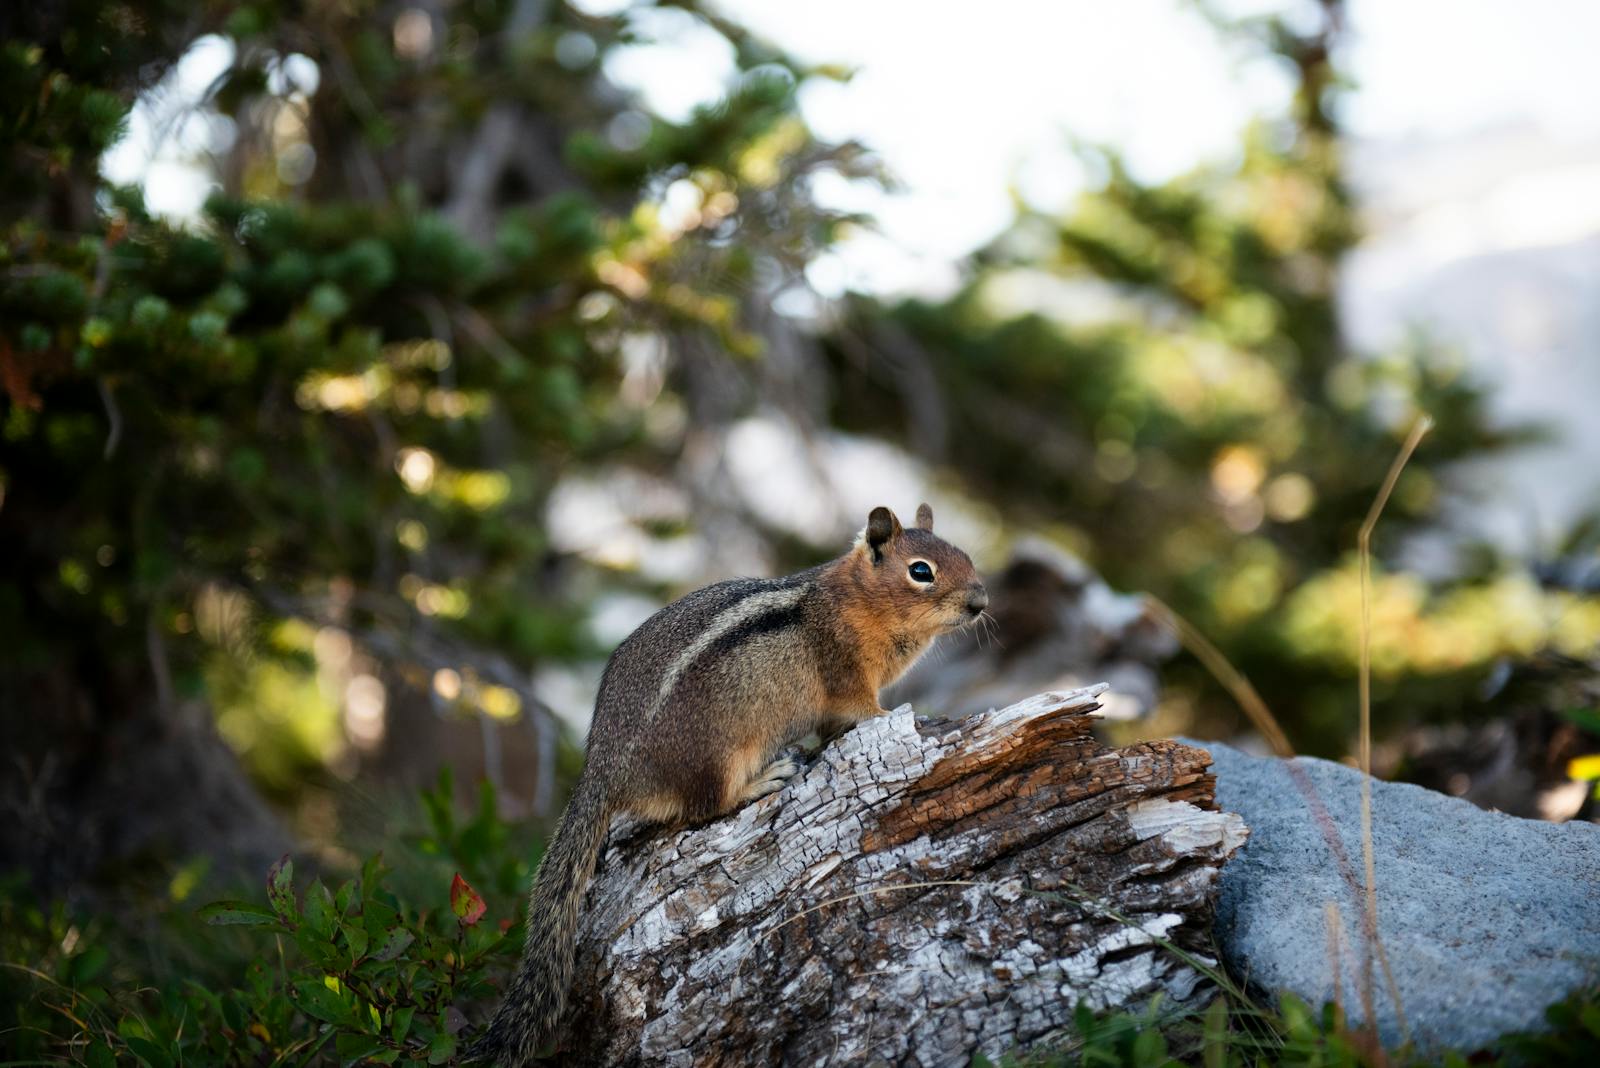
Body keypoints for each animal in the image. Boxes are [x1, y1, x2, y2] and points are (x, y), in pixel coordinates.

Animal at [467, 503, 988, 1065]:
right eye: (921, 571)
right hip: (717, 756)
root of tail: (601, 772)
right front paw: (907, 717)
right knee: (706, 806)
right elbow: (864, 709)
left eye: (965, 556)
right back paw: (763, 780)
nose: (981, 602)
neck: (858, 600)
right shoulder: (847, 673)